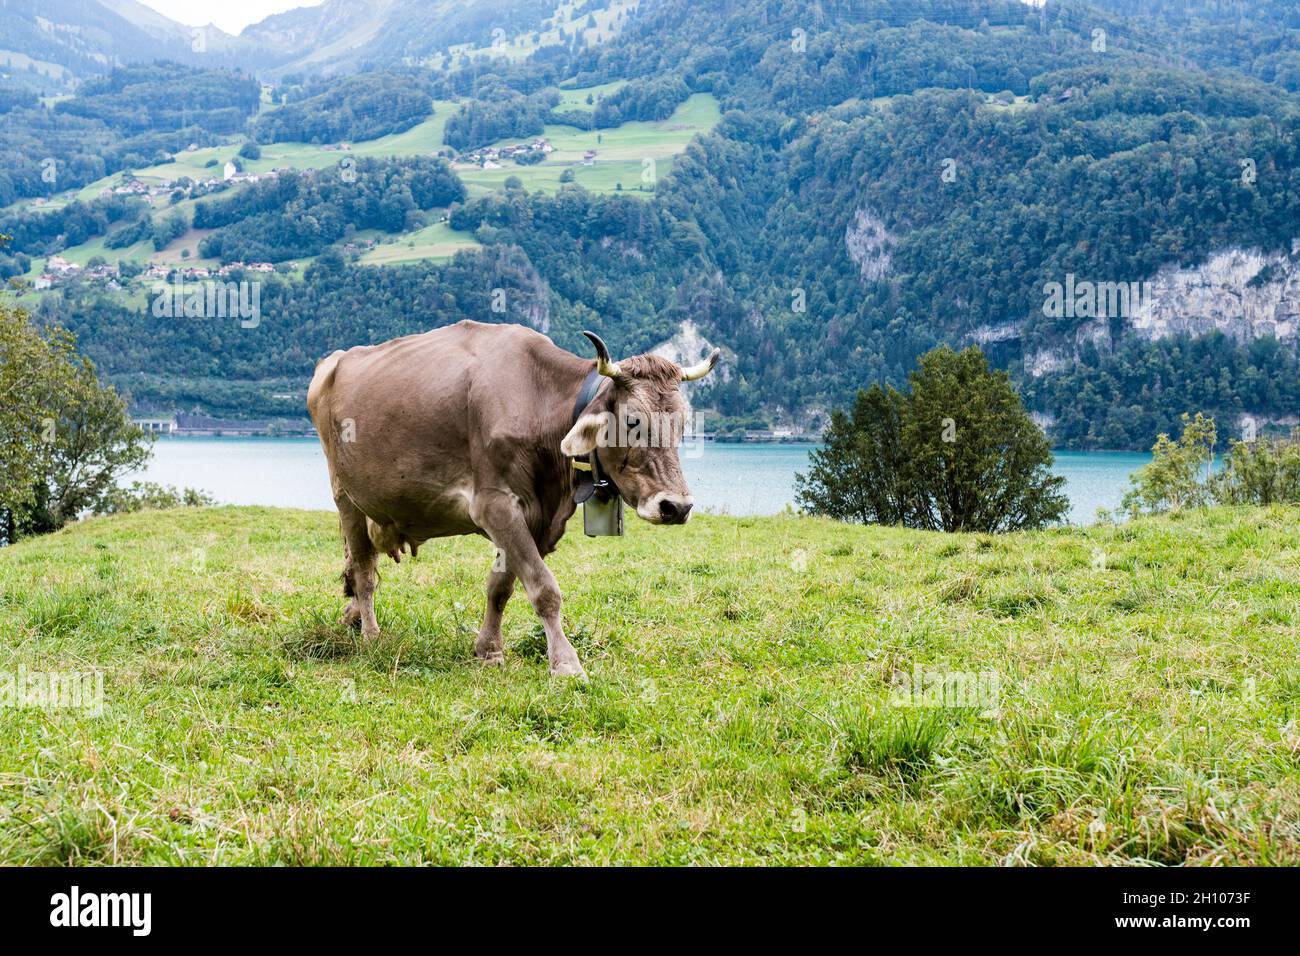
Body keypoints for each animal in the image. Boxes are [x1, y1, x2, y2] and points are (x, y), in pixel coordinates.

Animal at [307, 320, 720, 678]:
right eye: (632, 421)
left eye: (682, 423)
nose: (677, 506)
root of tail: (333, 361)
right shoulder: (494, 503)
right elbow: (544, 588)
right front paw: (566, 664)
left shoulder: (538, 516)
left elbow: (501, 585)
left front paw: (489, 650)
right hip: (346, 496)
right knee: (363, 571)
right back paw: (370, 635)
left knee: (358, 564)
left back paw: (351, 616)